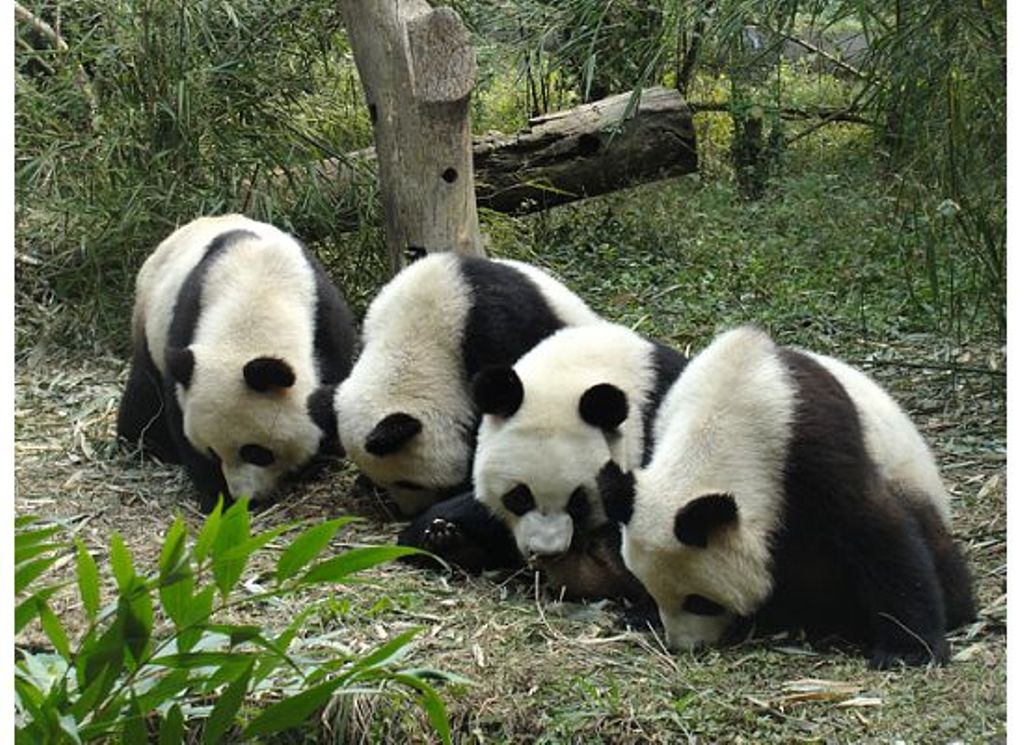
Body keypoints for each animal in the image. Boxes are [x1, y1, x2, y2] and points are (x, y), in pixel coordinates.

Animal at [116, 214, 356, 511]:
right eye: (212, 451)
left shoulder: (324, 319)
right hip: (149, 321)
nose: (244, 497)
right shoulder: (184, 327)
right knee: (145, 393)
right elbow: (178, 414)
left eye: (256, 452)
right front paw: (216, 496)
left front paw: (321, 457)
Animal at [598, 325, 976, 668]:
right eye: (653, 589)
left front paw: (907, 650)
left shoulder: (814, 446)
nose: (685, 645)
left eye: (700, 602)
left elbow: (875, 531)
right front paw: (641, 613)